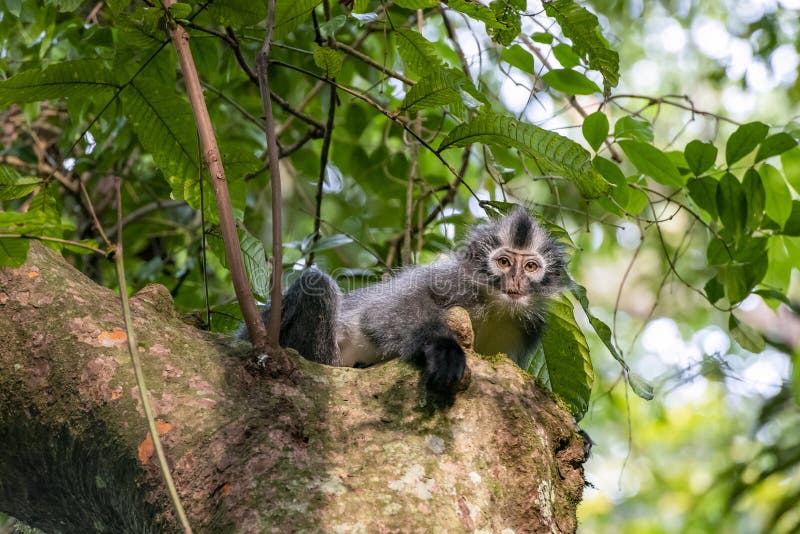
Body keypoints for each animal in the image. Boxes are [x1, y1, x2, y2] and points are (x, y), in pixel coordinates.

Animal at [250, 206, 567, 397]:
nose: (516, 281)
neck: (495, 306)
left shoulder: (527, 329)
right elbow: (380, 313)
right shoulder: (453, 280)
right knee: (317, 285)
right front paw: (443, 350)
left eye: (530, 267)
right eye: (503, 262)